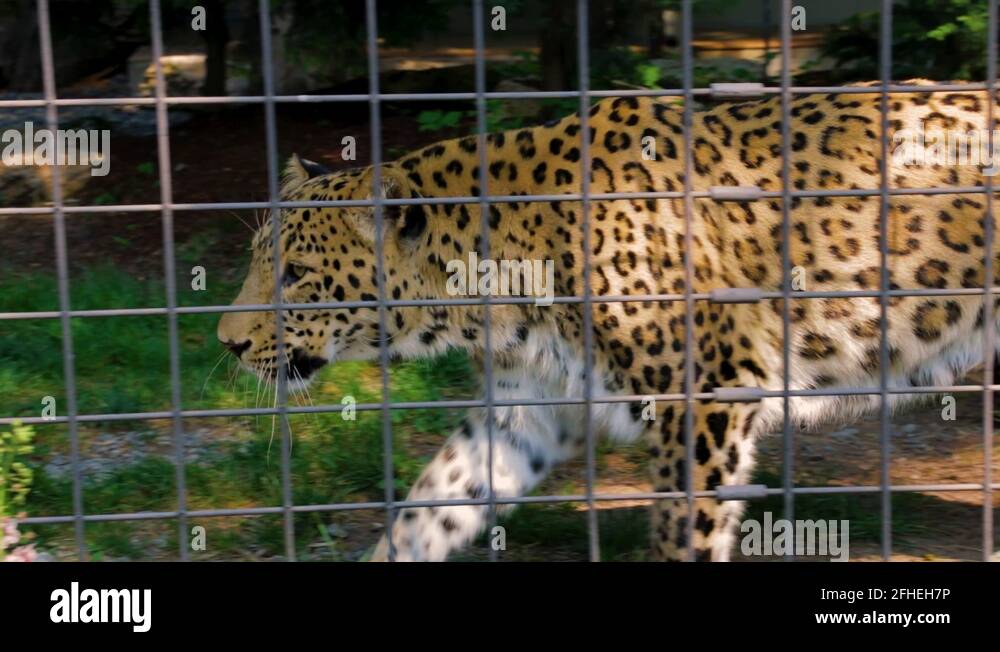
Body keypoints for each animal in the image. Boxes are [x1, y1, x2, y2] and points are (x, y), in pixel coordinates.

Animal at [217, 79, 1000, 561]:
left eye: (295, 276)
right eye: (257, 261)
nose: (225, 343)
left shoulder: (708, 396)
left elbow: (683, 530)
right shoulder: (525, 408)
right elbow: (429, 509)